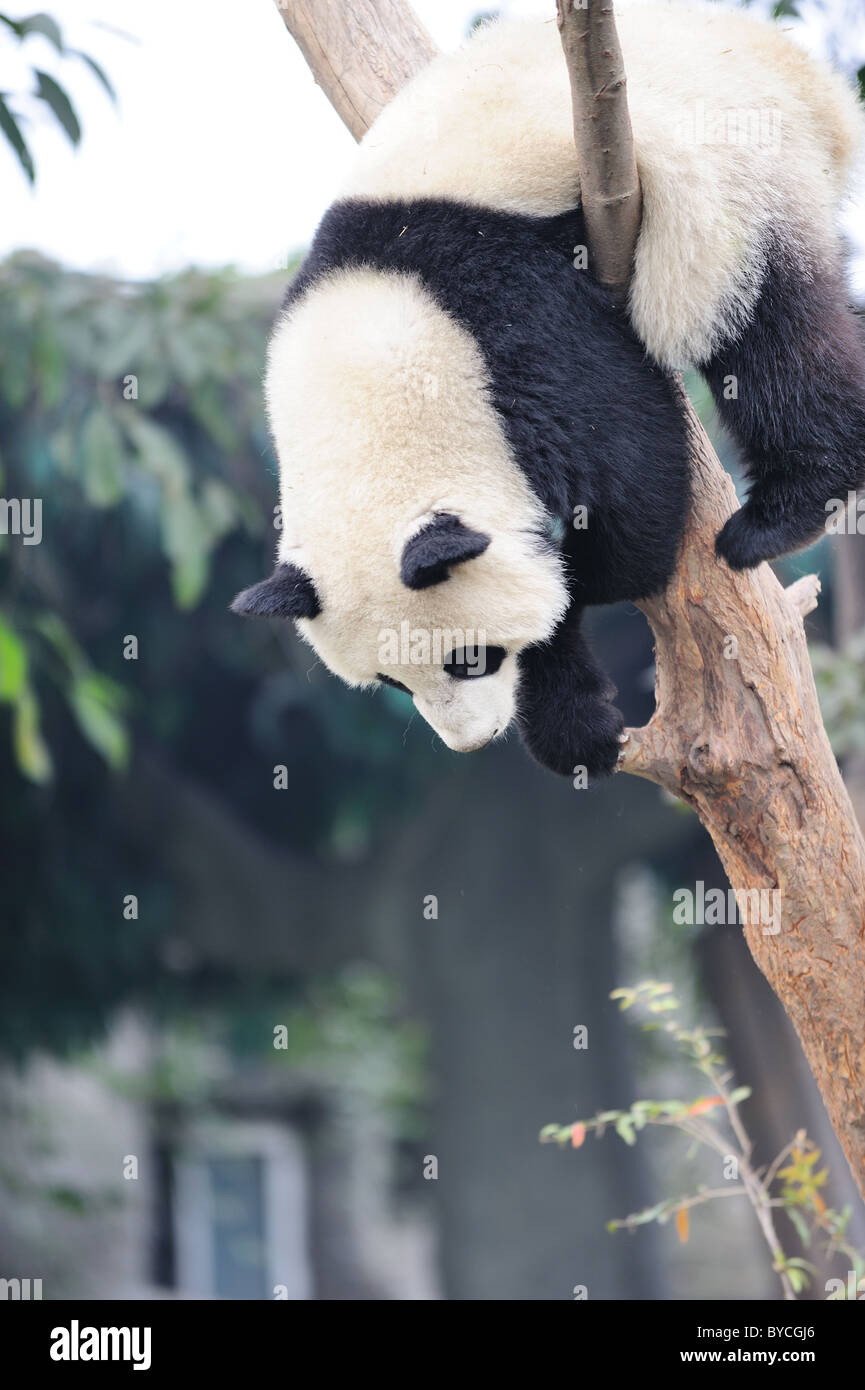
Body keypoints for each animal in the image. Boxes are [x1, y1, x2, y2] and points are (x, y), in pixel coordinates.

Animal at [233, 0, 865, 779]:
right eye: (390, 682)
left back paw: (785, 509)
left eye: (470, 659)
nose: (471, 741)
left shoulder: (513, 317)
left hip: (734, 166)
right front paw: (575, 726)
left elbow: (632, 475)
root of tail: (796, 67)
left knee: (761, 325)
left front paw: (579, 601)